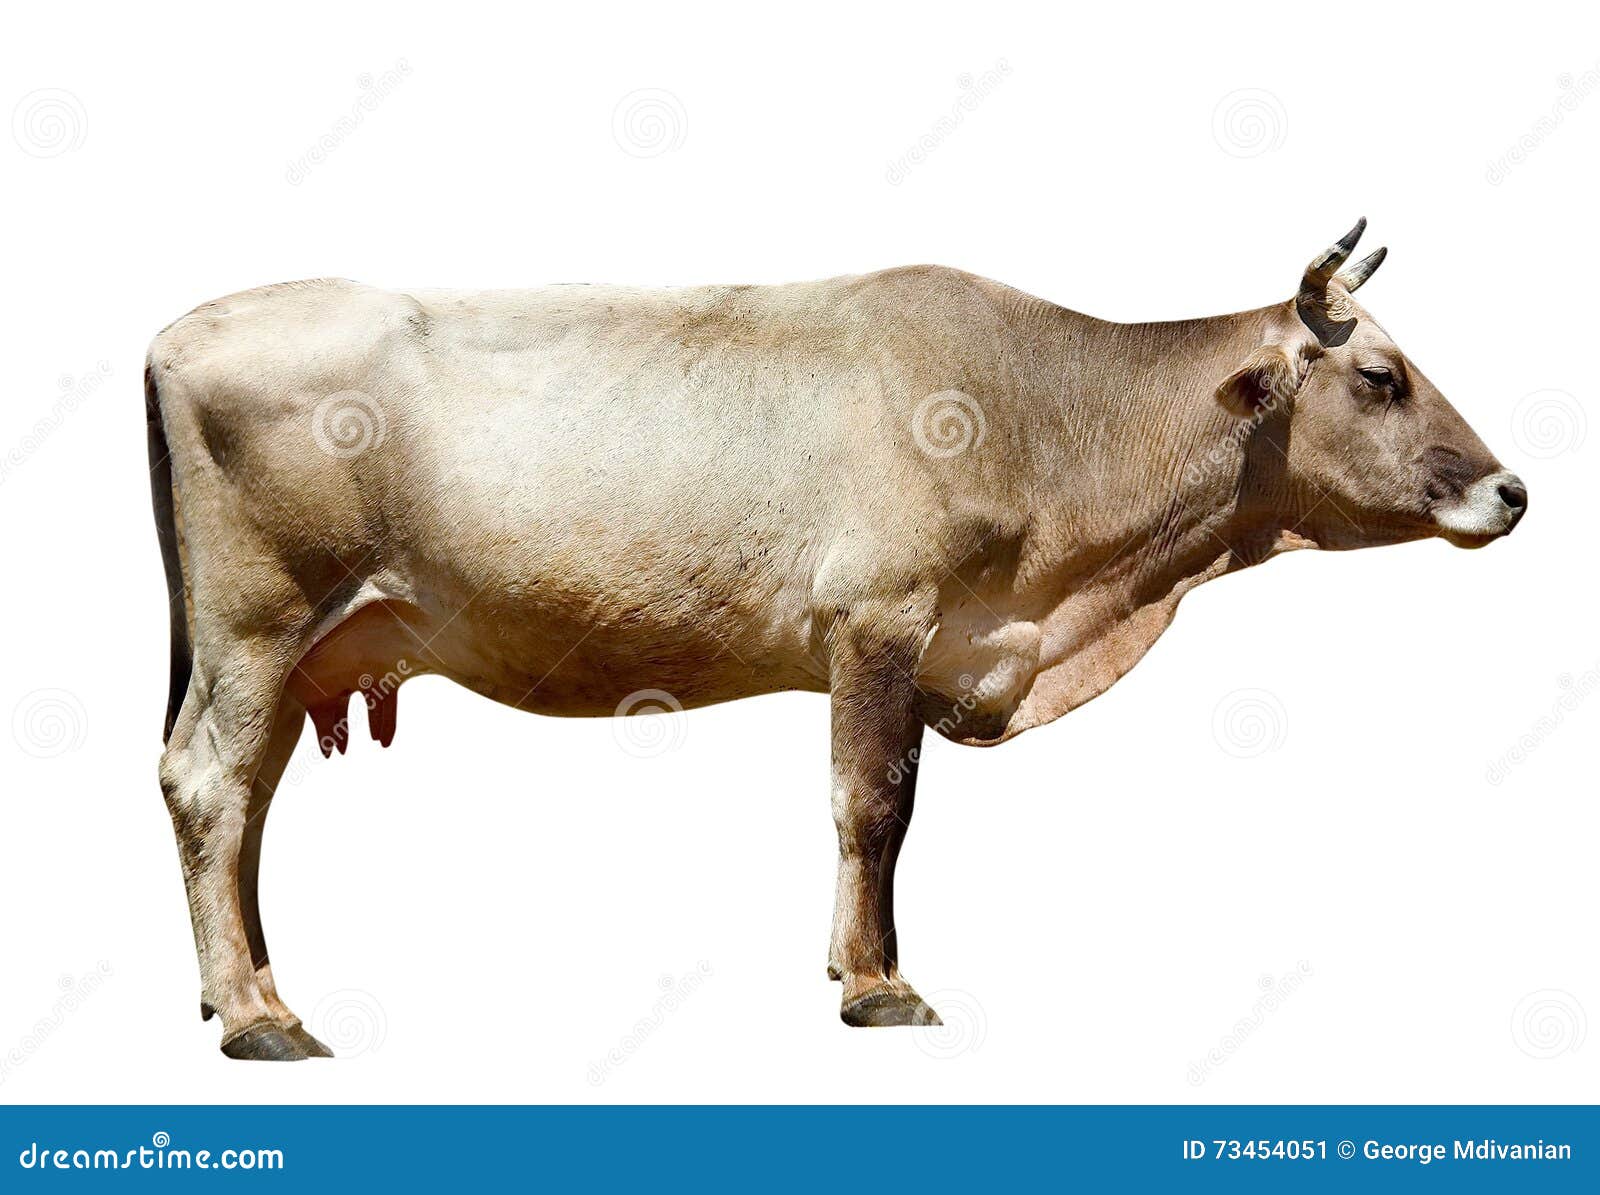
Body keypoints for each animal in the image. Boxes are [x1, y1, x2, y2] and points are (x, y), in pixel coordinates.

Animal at [146, 220, 1526, 1059]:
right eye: (1382, 376)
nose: (1509, 491)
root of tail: (185, 329)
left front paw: (853, 966)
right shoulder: (878, 617)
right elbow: (874, 805)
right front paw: (878, 986)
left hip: (291, 649)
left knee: (246, 801)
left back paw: (240, 986)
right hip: (258, 621)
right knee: (208, 783)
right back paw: (259, 1017)